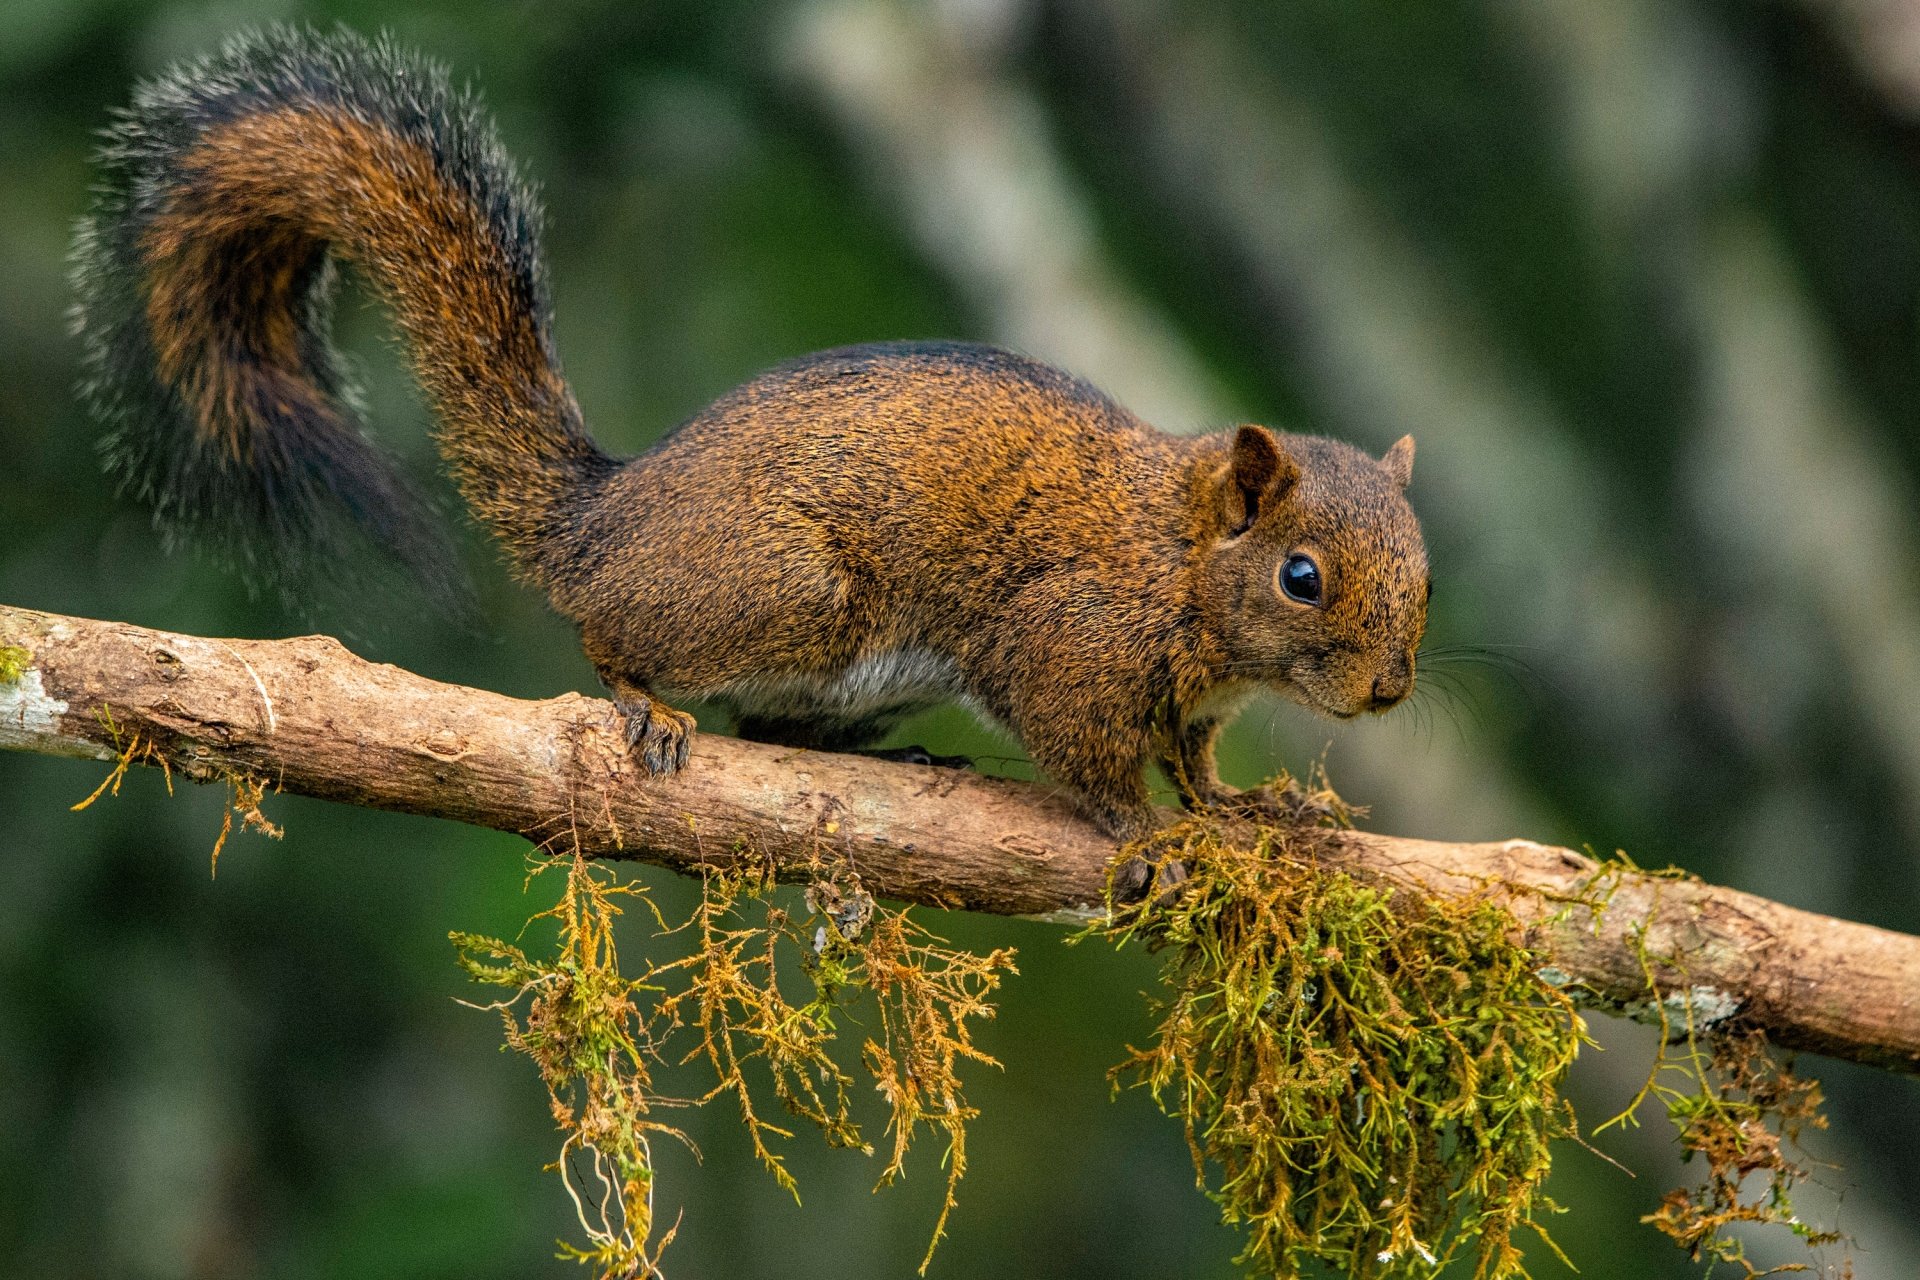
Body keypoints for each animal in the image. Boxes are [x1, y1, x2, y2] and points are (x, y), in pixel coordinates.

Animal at [71, 28, 1430, 885]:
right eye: (1302, 576)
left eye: (1424, 568)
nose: (1388, 692)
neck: (1181, 559)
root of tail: (600, 516)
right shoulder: (1071, 639)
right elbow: (1092, 761)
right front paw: (1144, 833)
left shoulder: (1190, 702)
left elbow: (1197, 765)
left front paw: (1245, 805)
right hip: (788, 590)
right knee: (613, 632)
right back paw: (642, 704)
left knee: (772, 721)